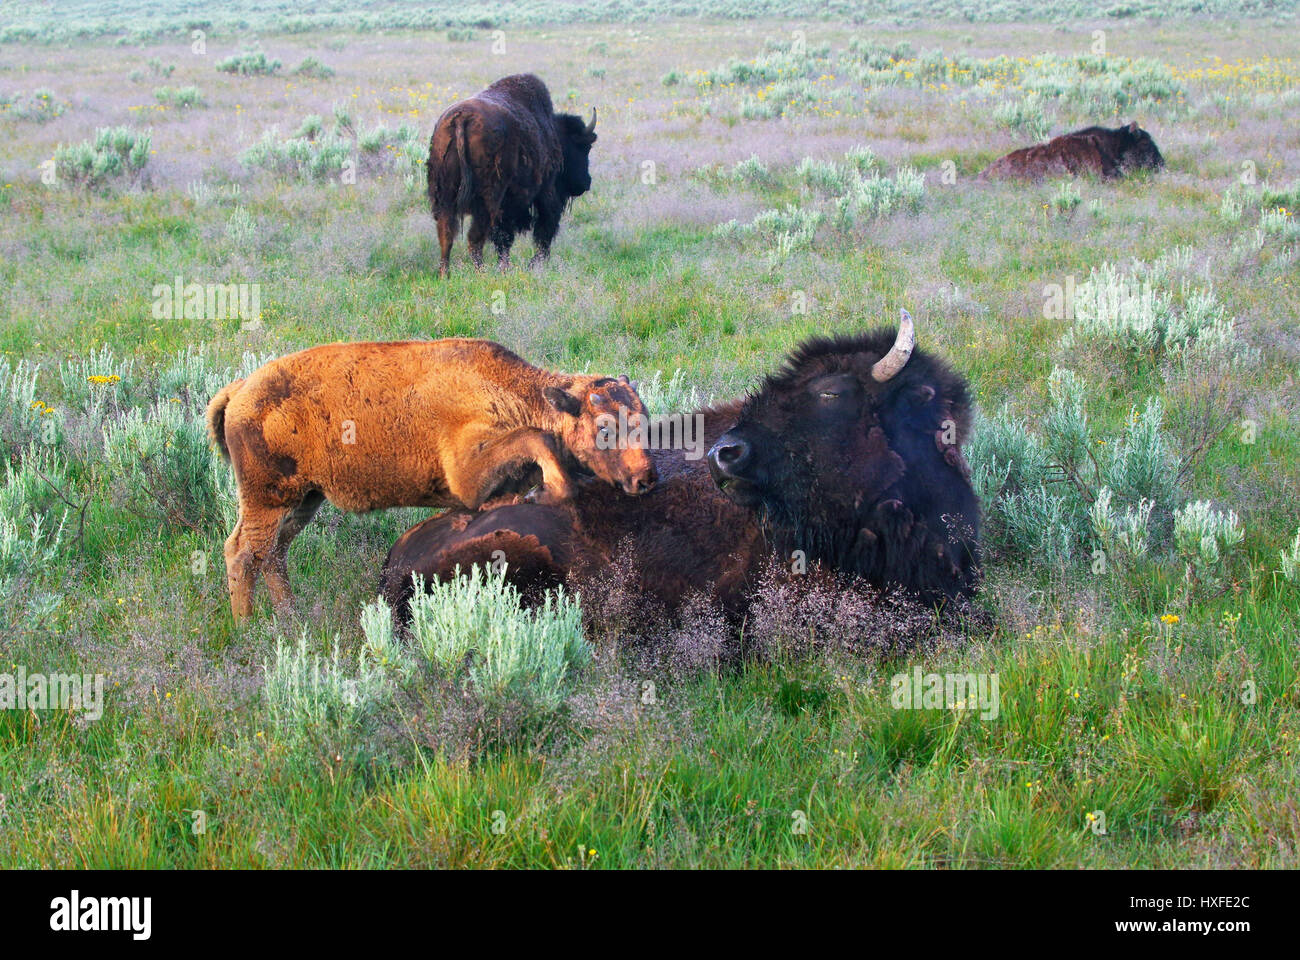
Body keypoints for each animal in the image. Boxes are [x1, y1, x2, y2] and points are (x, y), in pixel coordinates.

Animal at [427, 73, 597, 278]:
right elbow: (540, 231)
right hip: (488, 201)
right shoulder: (545, 193)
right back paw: (482, 273)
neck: (552, 134)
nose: (586, 182)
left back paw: (445, 274)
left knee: (447, 235)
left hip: (445, 196)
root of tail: (462, 118)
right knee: (475, 238)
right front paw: (530, 265)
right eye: (583, 147)